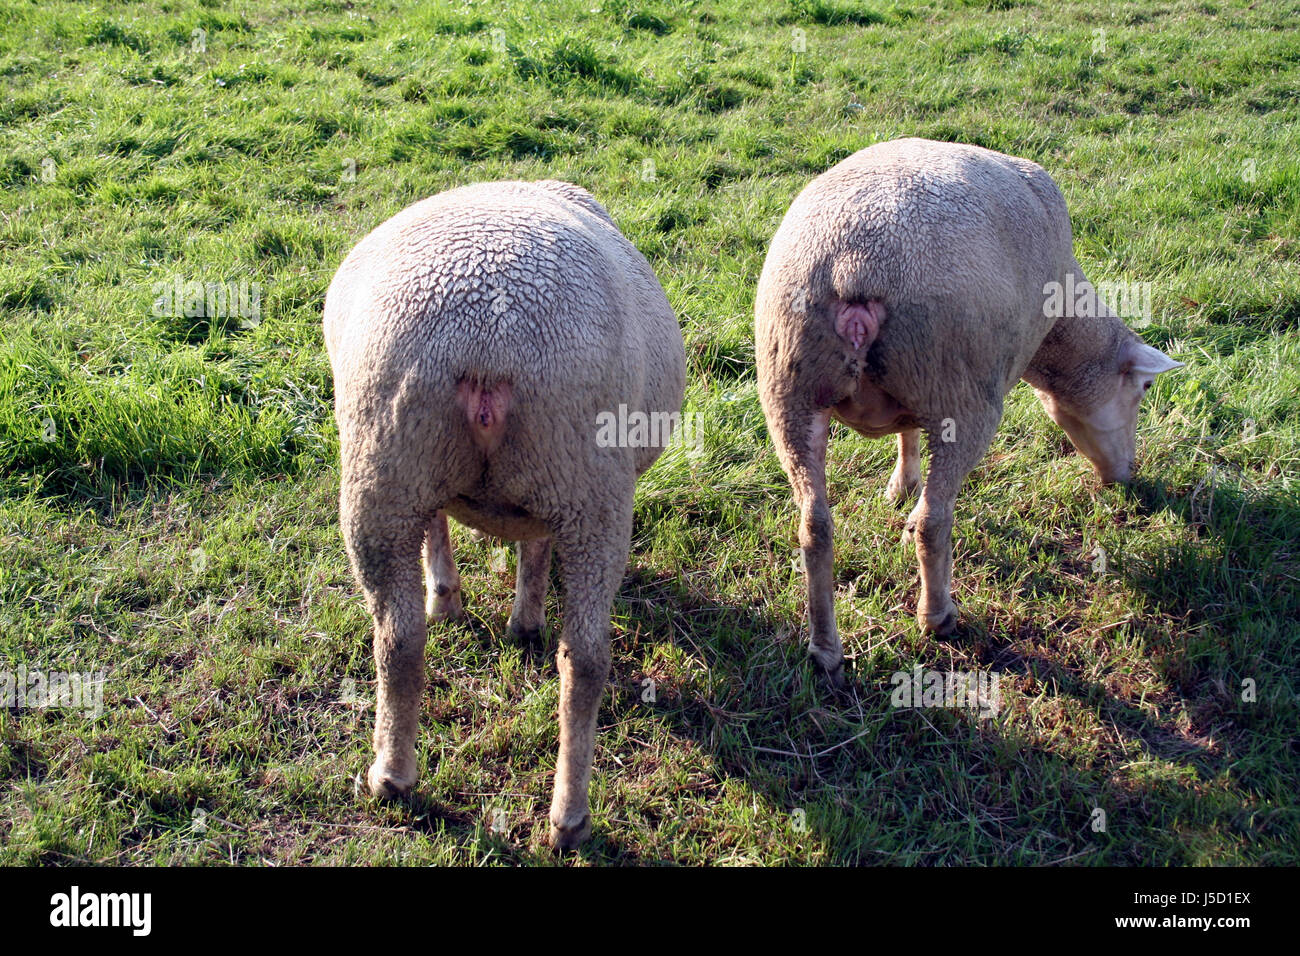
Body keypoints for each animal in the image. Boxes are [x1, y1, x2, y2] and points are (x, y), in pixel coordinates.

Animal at [324, 180, 686, 849]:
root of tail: (490, 345)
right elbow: (529, 545)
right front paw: (518, 616)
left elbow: (452, 532)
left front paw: (460, 600)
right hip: (588, 486)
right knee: (585, 659)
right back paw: (568, 817)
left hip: (384, 467)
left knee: (399, 638)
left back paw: (393, 777)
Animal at [754, 137, 1183, 684]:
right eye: (1144, 388)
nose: (1127, 475)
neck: (1060, 333)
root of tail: (853, 265)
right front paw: (911, 504)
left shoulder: (917, 397)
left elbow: (908, 435)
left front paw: (903, 484)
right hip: (963, 392)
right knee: (936, 522)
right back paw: (937, 617)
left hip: (789, 391)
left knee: (814, 527)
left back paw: (825, 649)